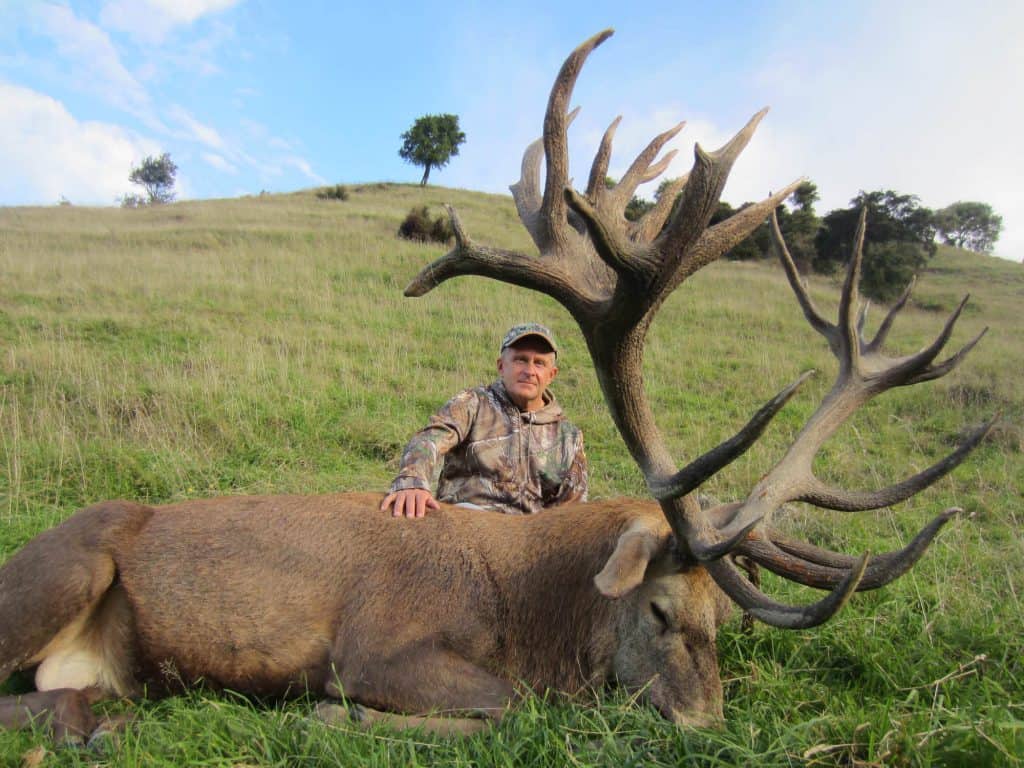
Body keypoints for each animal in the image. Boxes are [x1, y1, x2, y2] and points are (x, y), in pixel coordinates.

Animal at [0, 29, 992, 744]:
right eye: (661, 609)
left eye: (723, 621)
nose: (703, 725)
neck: (529, 613)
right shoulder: (376, 643)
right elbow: (504, 707)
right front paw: (331, 715)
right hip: (60, 567)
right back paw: (93, 722)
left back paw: (97, 712)